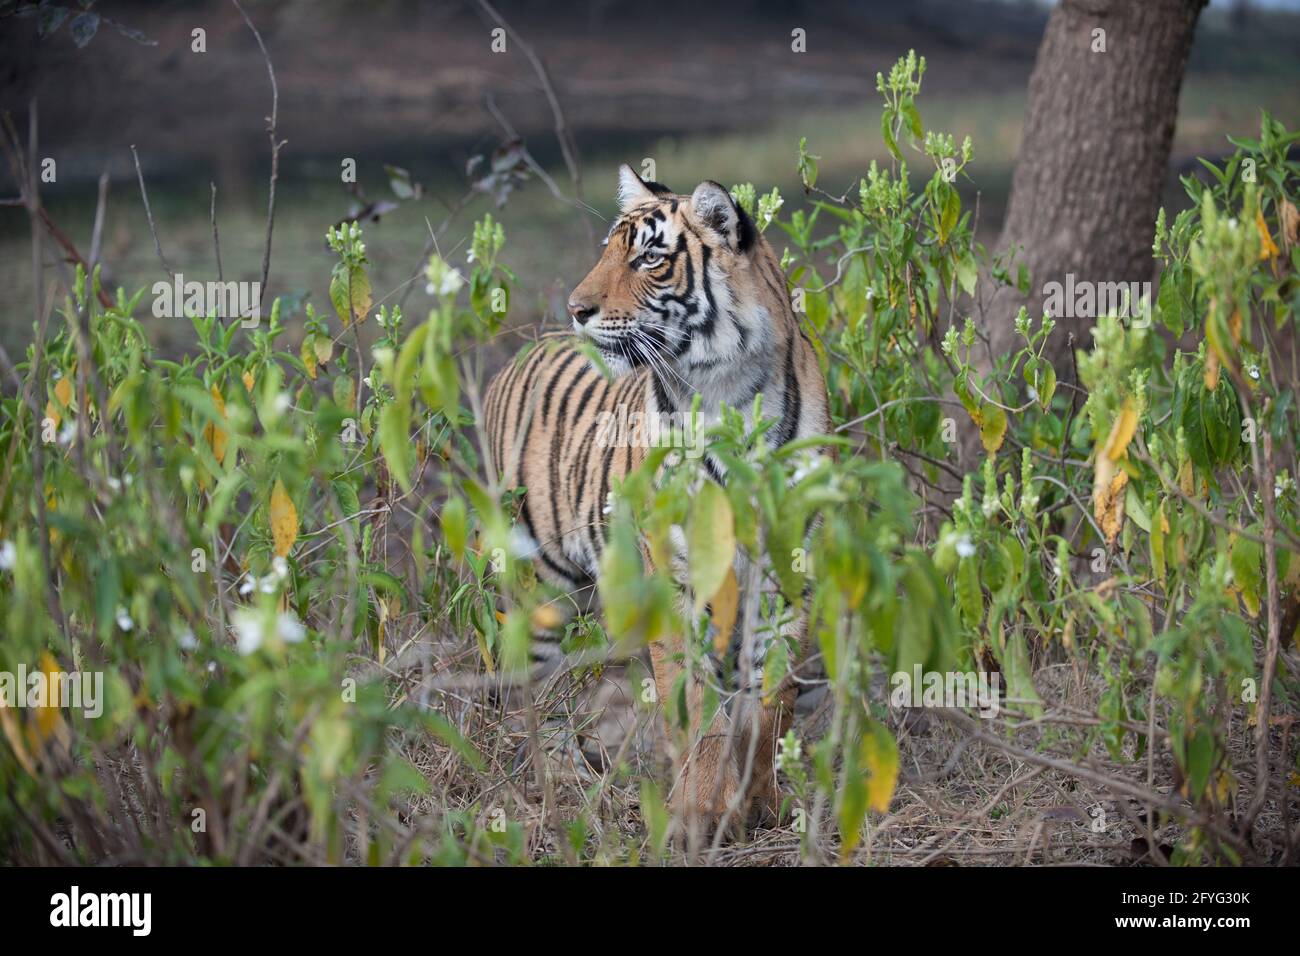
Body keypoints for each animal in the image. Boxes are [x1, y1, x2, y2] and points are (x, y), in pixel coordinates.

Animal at [482, 164, 830, 831]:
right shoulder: (680, 570)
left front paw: (762, 803)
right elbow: (695, 699)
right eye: (607, 251)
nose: (577, 309)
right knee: (528, 682)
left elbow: (771, 702)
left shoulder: (786, 566)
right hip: (539, 581)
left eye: (648, 258)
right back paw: (550, 773)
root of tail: (518, 354)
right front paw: (700, 811)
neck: (730, 393)